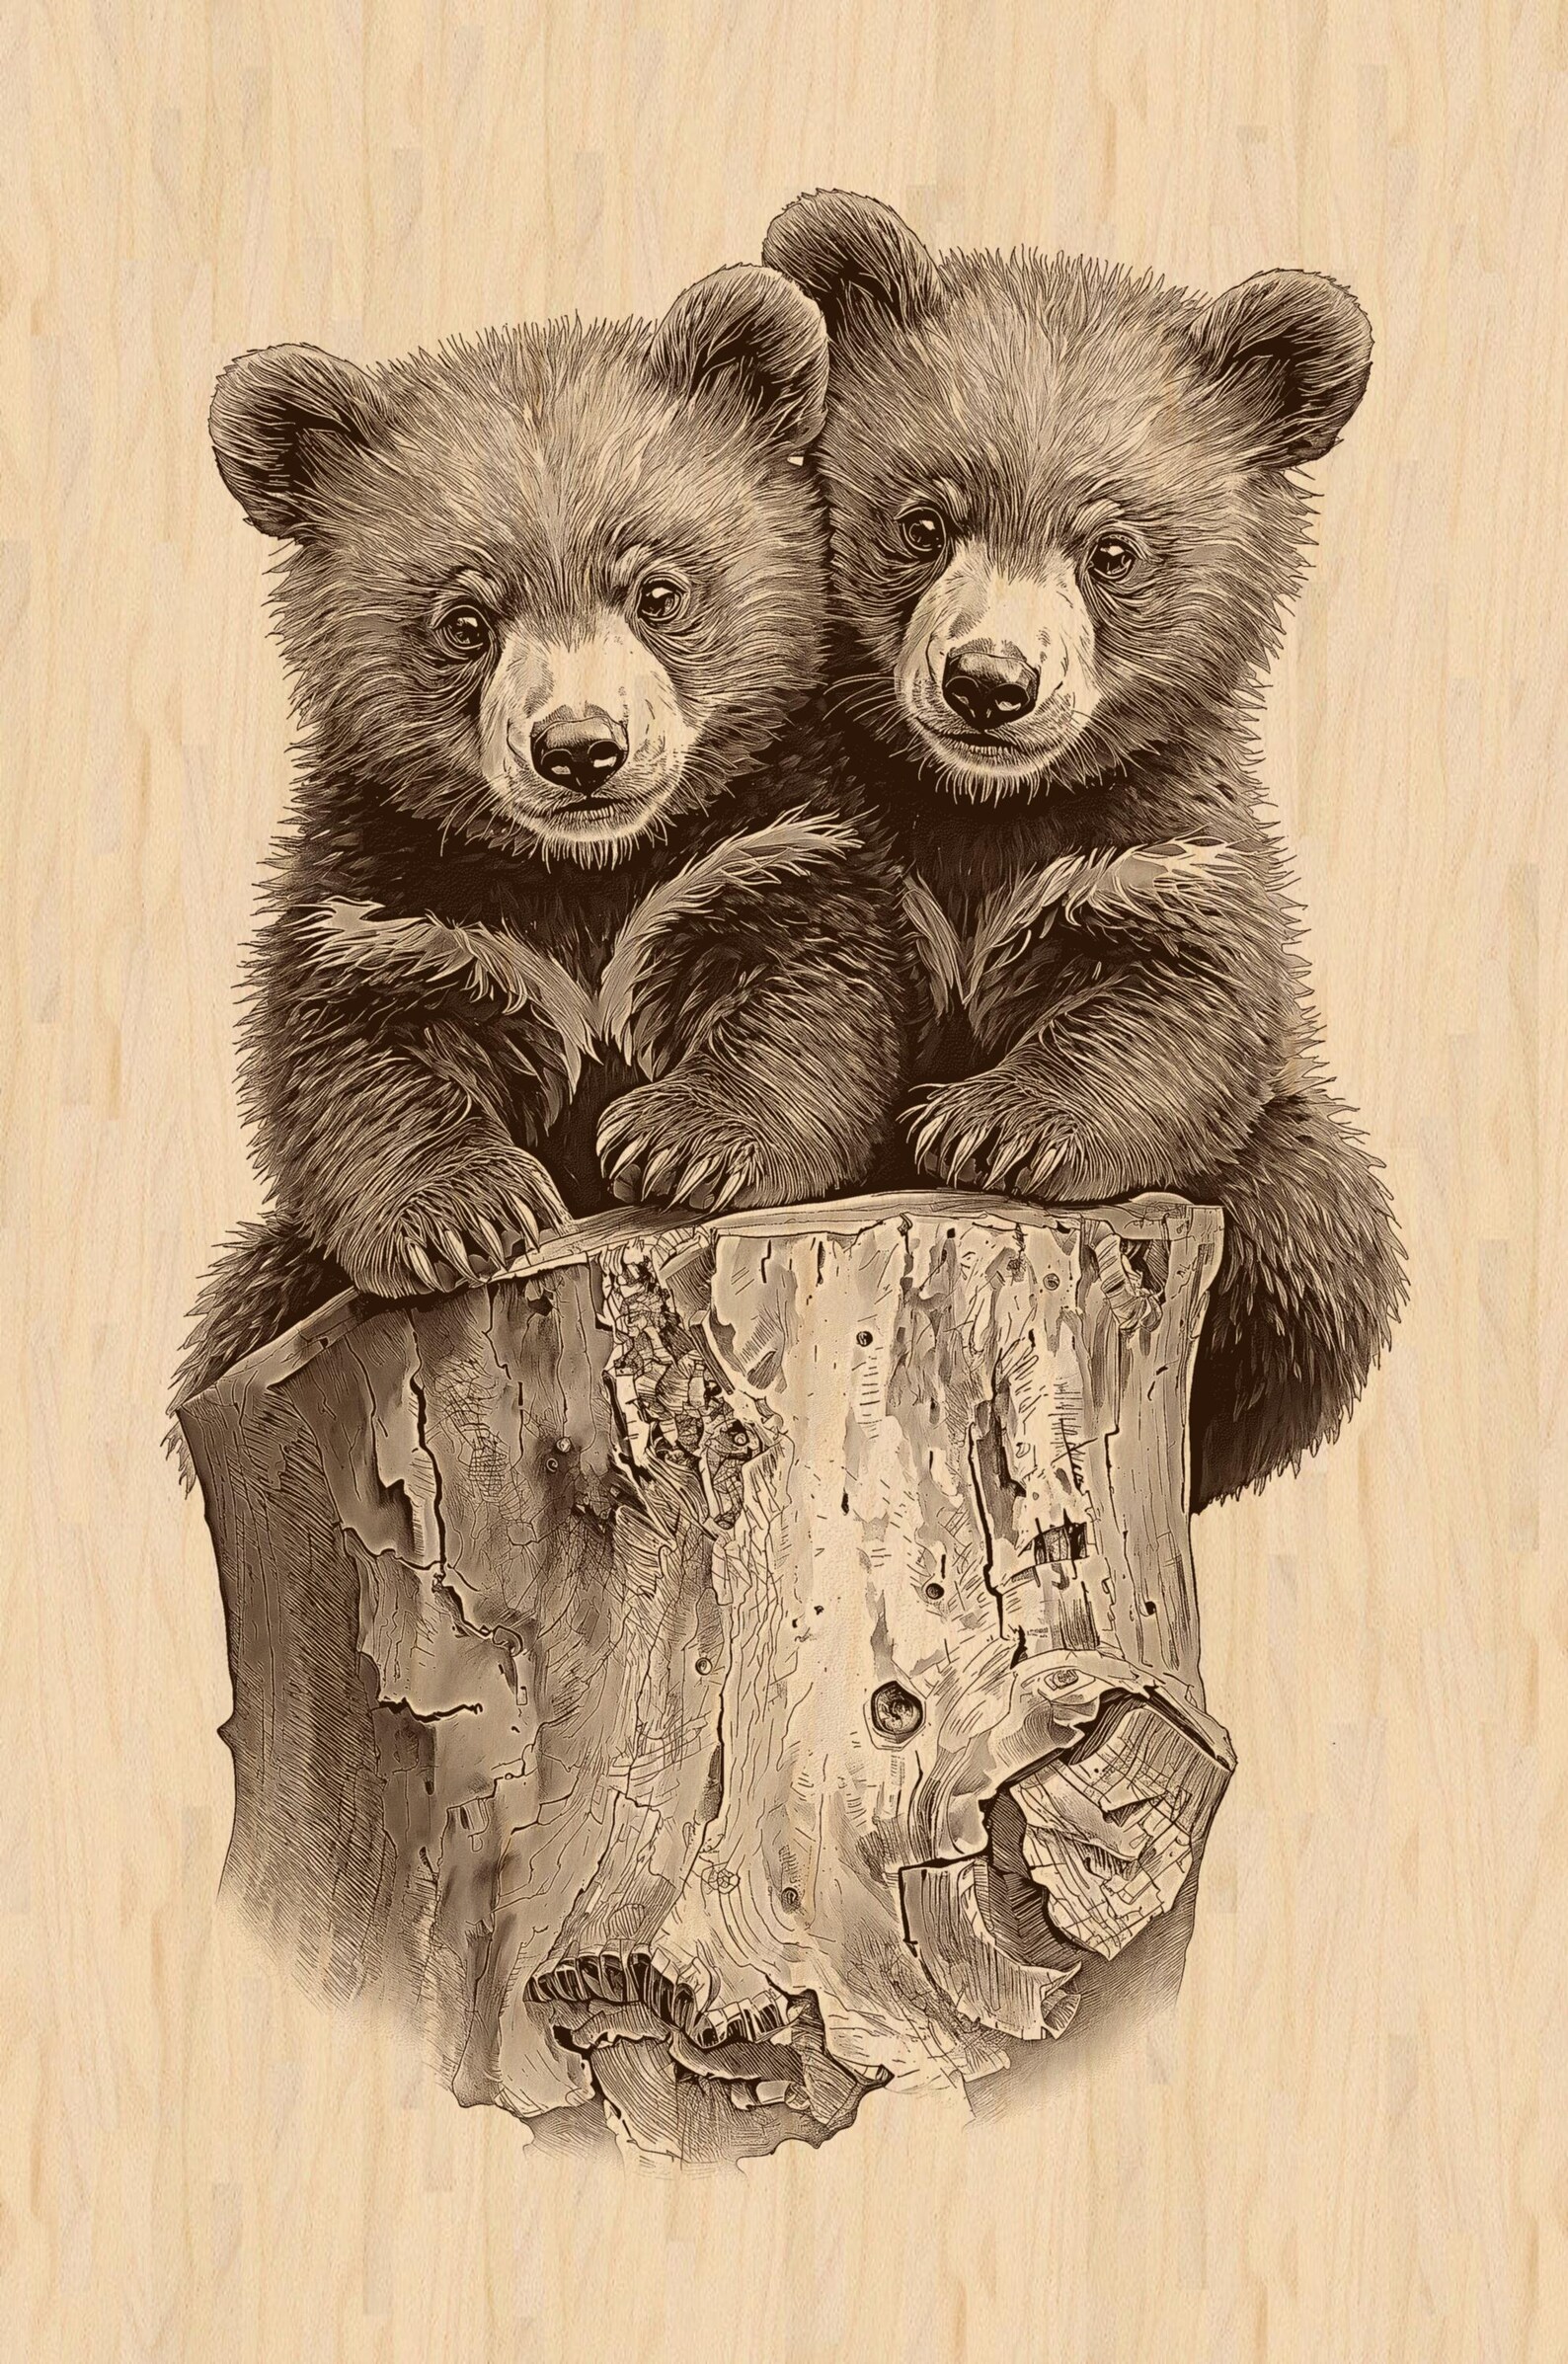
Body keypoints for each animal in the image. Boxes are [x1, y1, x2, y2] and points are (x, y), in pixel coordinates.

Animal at [172, 262, 914, 1417]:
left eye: (658, 590)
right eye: (466, 622)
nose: (580, 750)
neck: (582, 874)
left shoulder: (764, 841)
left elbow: (814, 999)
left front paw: (678, 1142)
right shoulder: (397, 905)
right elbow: (343, 1063)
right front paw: (467, 1210)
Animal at [761, 189, 1405, 1510]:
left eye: (1111, 549)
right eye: (923, 520)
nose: (988, 682)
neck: (988, 810)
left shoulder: (1162, 844)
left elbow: (1181, 1004)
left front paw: (991, 1123)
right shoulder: (837, 818)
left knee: (1320, 1244)